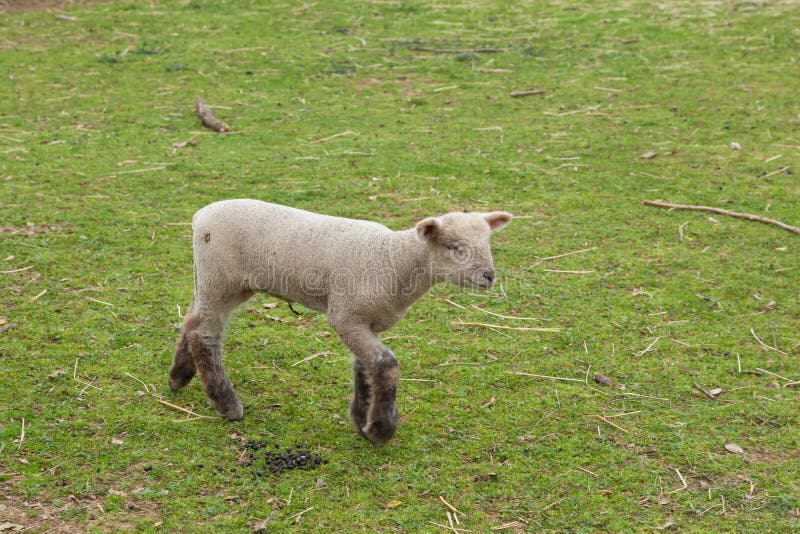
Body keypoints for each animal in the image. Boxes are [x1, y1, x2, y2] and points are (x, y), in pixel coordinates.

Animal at [169, 199, 512, 446]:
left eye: (488, 243)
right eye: (453, 247)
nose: (489, 276)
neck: (394, 260)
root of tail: (200, 217)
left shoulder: (365, 321)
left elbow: (365, 368)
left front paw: (362, 420)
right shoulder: (345, 316)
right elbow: (386, 364)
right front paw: (381, 429)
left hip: (215, 282)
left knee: (191, 319)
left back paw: (178, 376)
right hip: (220, 279)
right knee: (204, 335)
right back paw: (226, 404)